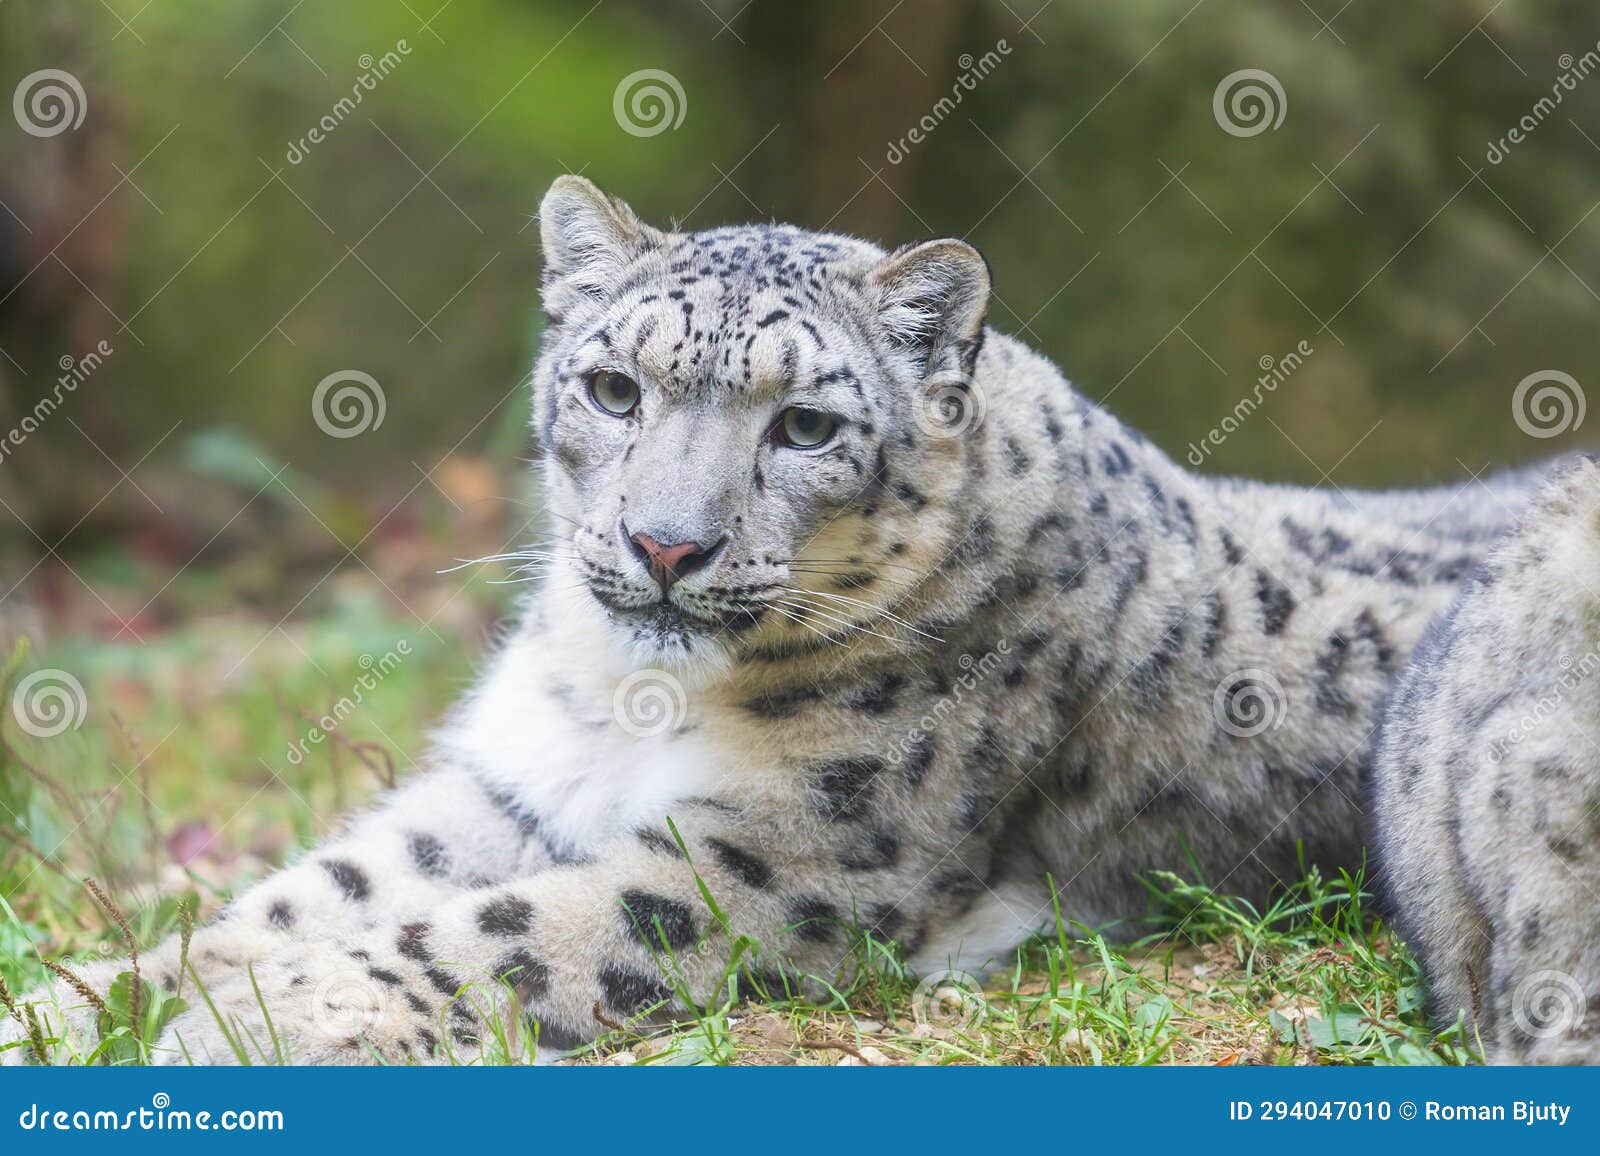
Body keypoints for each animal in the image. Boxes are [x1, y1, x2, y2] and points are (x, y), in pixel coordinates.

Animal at [1, 176, 1551, 1065]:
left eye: (805, 425)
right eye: (613, 387)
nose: (665, 543)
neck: (631, 698)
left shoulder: (788, 856)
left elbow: (495, 930)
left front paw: (253, 1026)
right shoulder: (506, 783)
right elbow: (299, 898)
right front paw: (84, 1004)